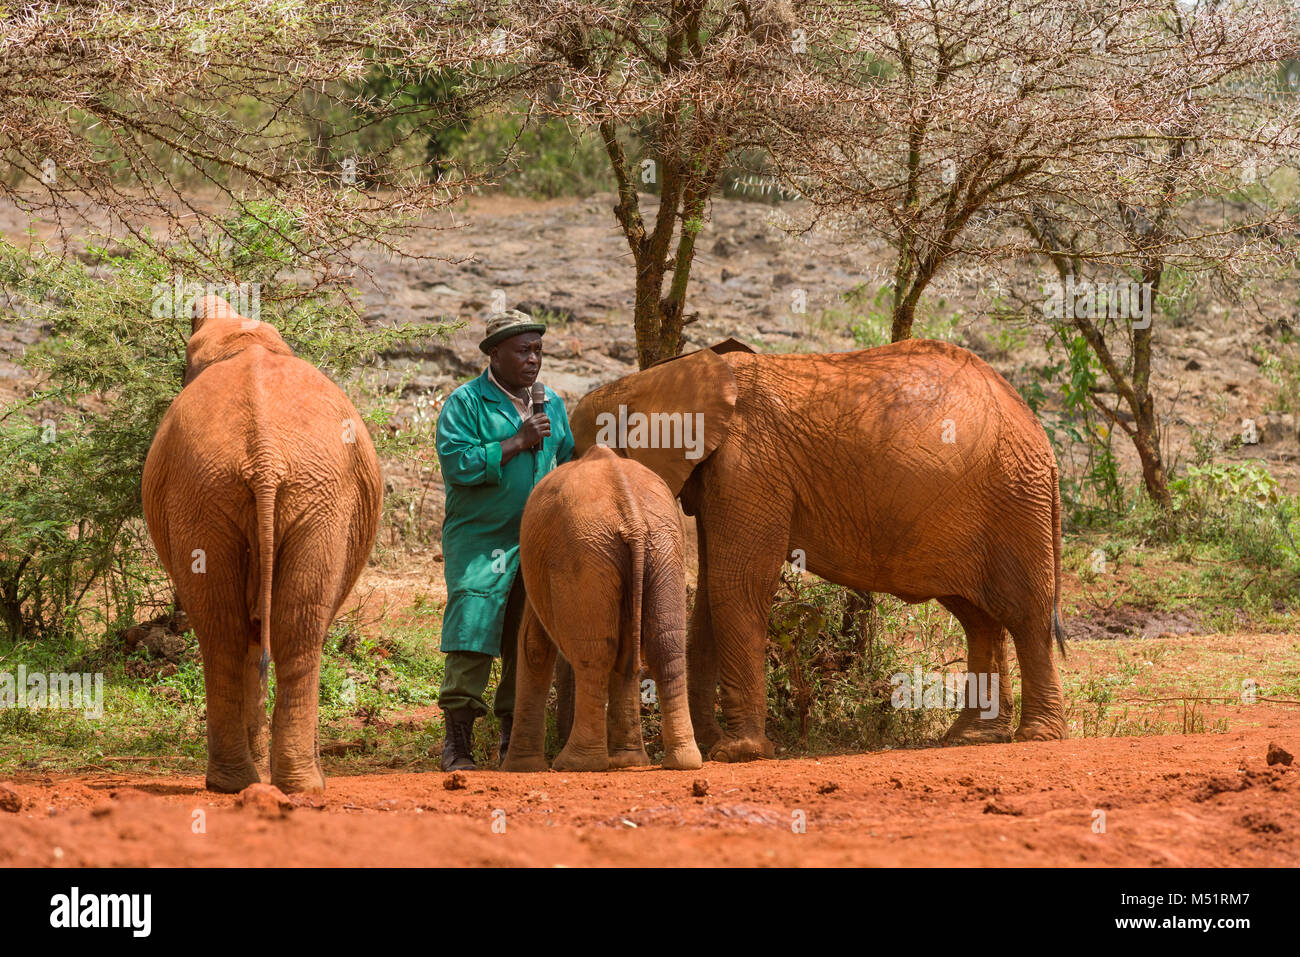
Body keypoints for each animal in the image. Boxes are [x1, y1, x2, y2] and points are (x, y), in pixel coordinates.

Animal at [142, 295, 382, 793]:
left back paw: (254, 783)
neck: (241, 335)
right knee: (284, 629)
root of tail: (264, 453)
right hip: (246, 494)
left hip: (238, 493)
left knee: (239, 629)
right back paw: (286, 783)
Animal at [502, 445, 702, 772]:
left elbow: (533, 644)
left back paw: (575, 763)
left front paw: (520, 768)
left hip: (585, 552)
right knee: (664, 646)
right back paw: (680, 761)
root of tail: (632, 518)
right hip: (660, 548)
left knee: (594, 653)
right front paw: (626, 760)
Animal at [569, 337, 1067, 762]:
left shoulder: (751, 465)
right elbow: (712, 589)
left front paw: (737, 753)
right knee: (979, 618)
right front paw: (711, 745)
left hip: (1015, 497)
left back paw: (1037, 735)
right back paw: (972, 737)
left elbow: (737, 583)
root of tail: (1040, 435)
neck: (660, 377)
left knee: (1025, 612)